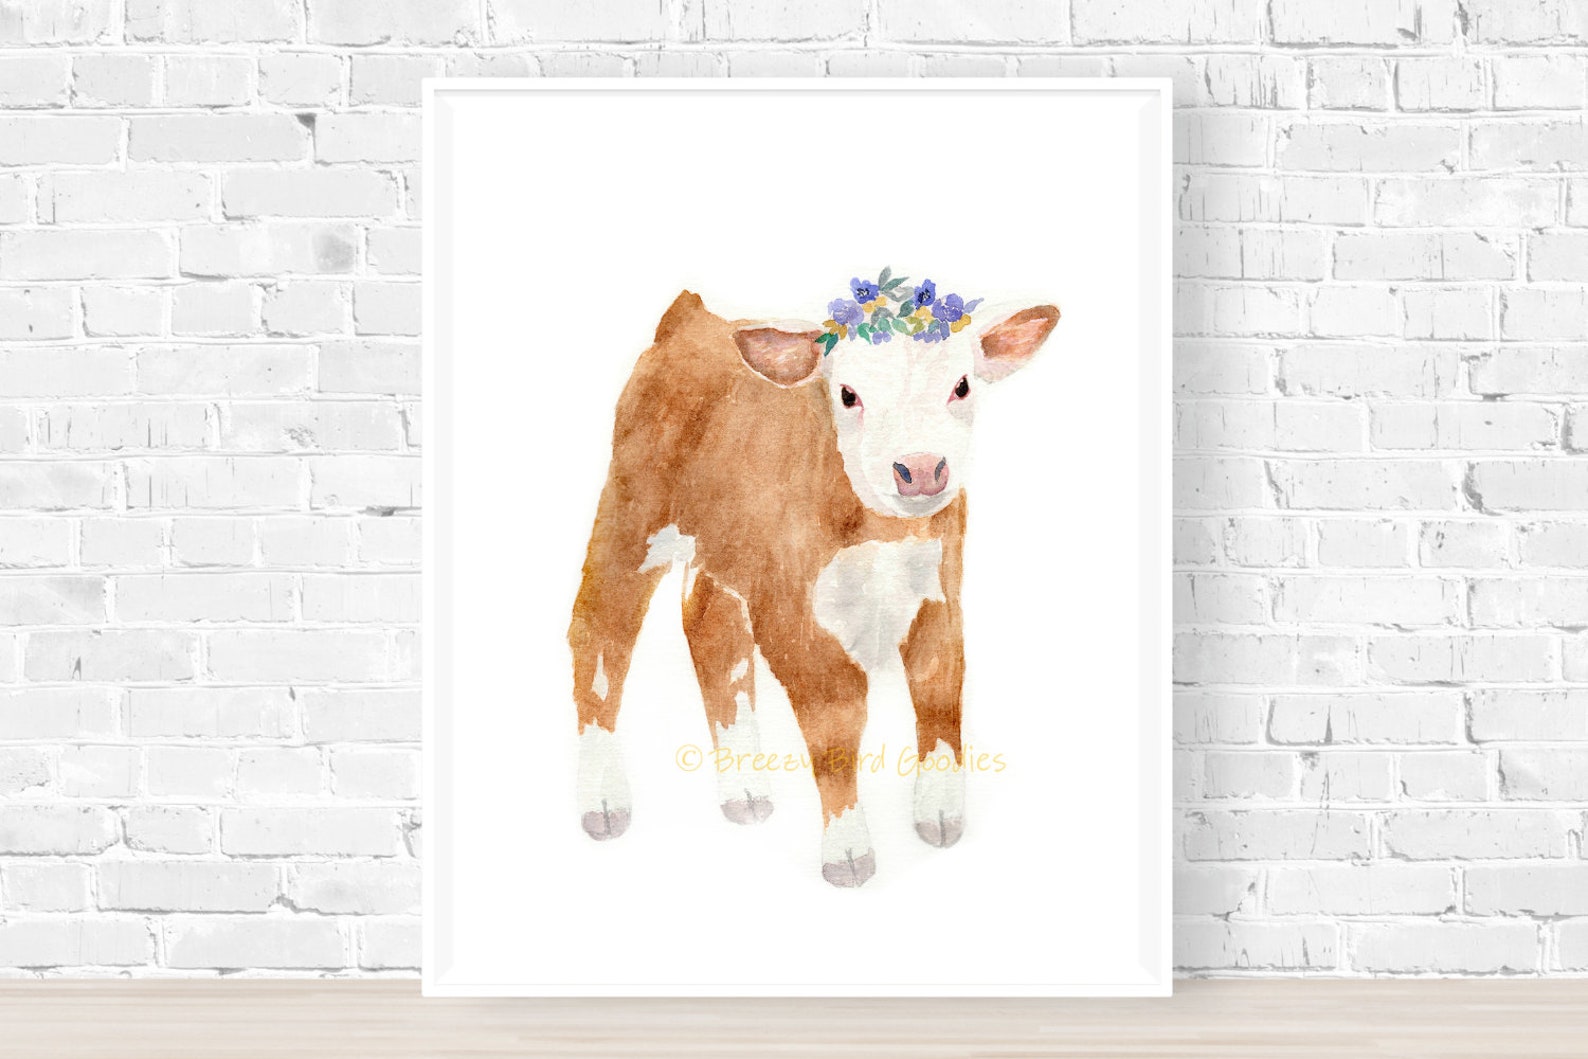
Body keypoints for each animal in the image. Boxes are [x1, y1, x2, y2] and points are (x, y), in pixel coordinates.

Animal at [569, 273, 1060, 887]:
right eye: (847, 394)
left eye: (962, 385)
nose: (922, 470)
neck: (881, 532)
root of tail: (696, 317)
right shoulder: (791, 611)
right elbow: (836, 723)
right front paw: (848, 851)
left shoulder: (940, 588)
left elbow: (940, 690)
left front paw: (940, 814)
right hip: (633, 511)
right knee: (600, 631)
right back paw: (603, 802)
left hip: (726, 543)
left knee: (711, 631)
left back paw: (745, 791)